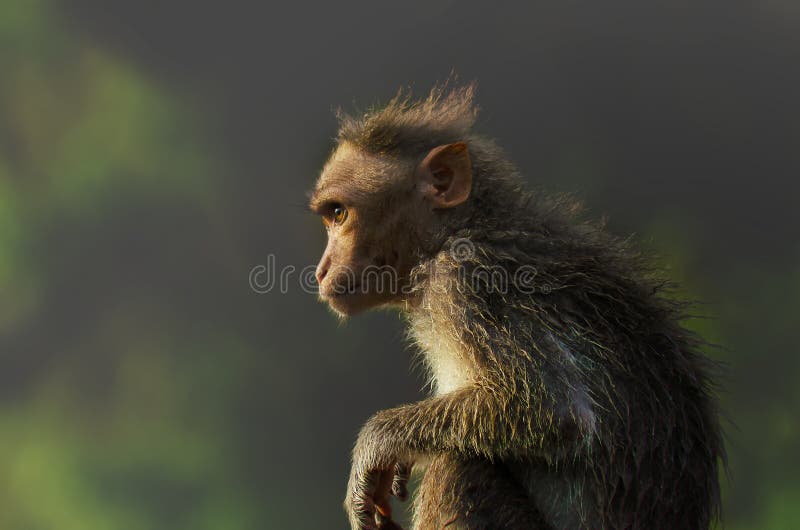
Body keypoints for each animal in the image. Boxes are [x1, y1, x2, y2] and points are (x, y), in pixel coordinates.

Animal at [308, 84, 724, 530]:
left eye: (339, 213)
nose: (321, 270)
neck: (451, 236)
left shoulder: (471, 279)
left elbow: (550, 410)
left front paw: (378, 440)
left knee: (459, 467)